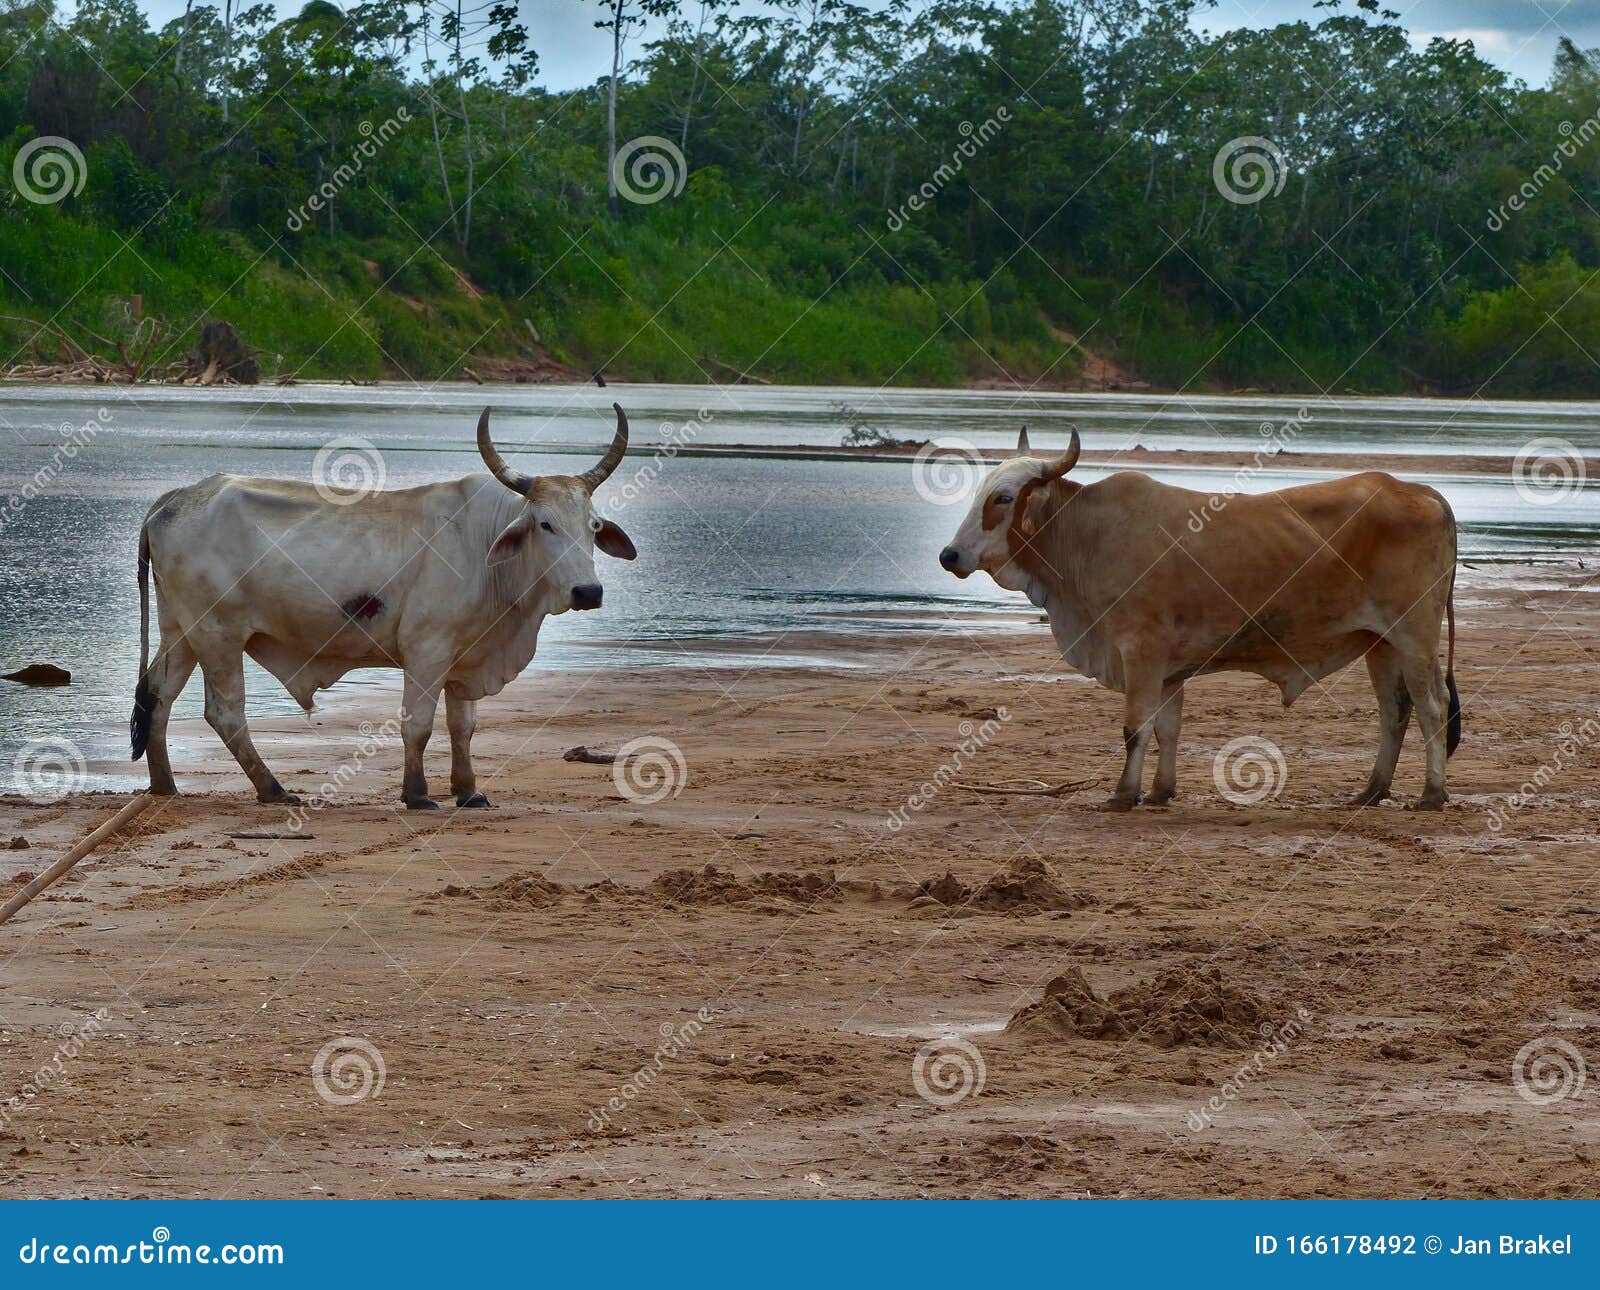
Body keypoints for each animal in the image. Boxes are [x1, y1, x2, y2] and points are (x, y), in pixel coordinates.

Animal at [130, 404, 638, 810]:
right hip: (218, 635)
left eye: (593, 525)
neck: (485, 549)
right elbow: (419, 725)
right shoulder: (427, 652)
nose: (588, 592)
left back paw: (165, 785)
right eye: (545, 524)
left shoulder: (465, 657)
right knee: (225, 713)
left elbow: (463, 728)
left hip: (182, 631)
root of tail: (174, 499)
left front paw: (468, 791)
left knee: (158, 695)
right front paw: (417, 794)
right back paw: (272, 789)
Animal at [938, 427, 1461, 810]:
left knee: (1432, 706)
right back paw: (1372, 791)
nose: (949, 555)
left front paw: (1123, 795)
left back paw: (1432, 795)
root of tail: (1416, 489)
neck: (1088, 535)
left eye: (1003, 498)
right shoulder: (1169, 666)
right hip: (1380, 643)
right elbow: (1166, 728)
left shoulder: (1140, 650)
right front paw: (1159, 791)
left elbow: (1135, 728)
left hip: (1414, 636)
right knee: (1394, 711)